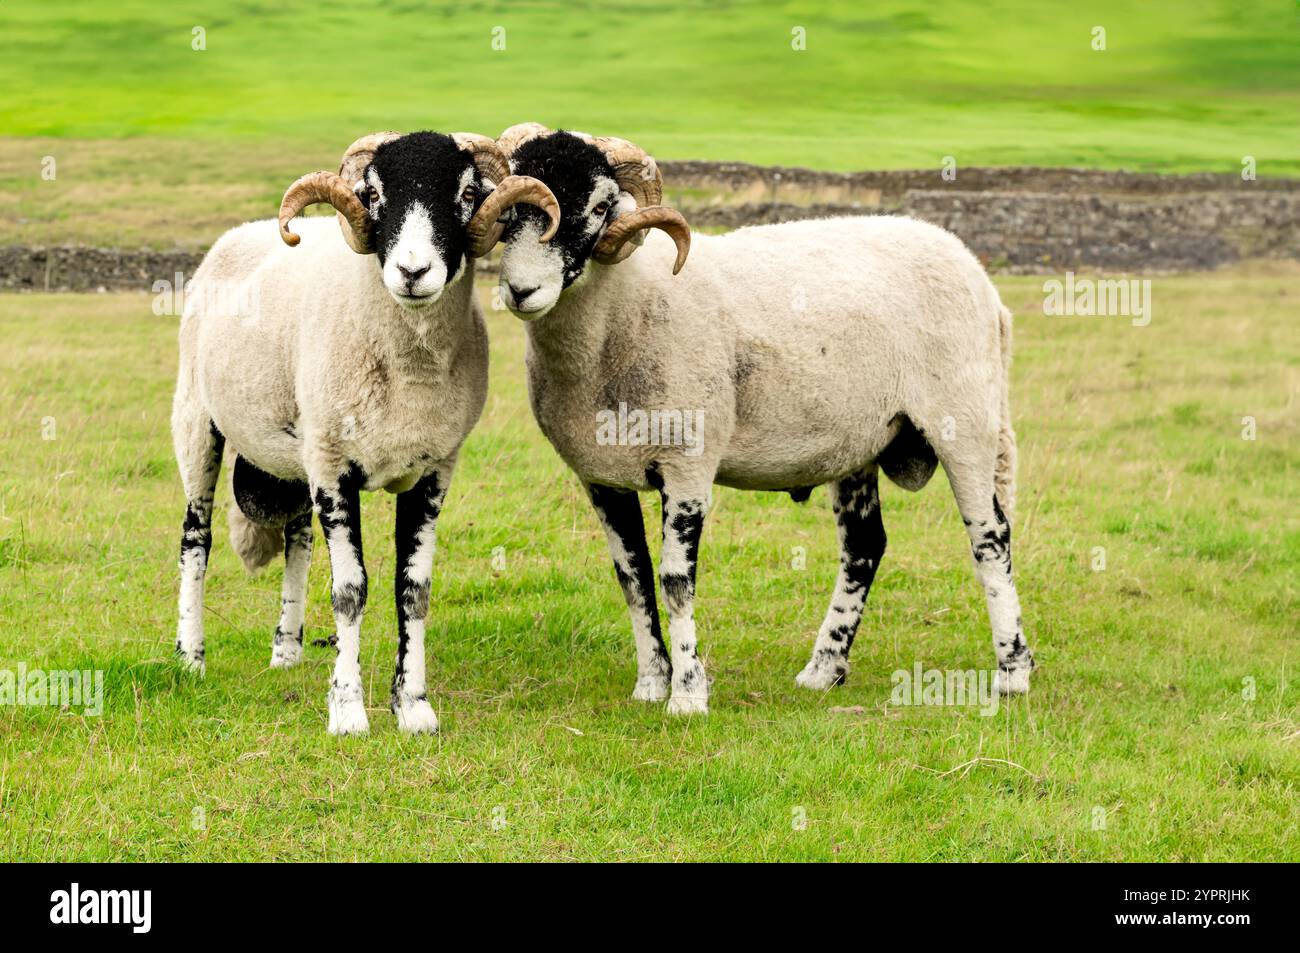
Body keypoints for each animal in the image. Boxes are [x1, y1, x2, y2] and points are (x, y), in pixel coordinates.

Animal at [171, 130, 559, 734]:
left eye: (468, 193)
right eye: (373, 194)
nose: (413, 272)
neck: (407, 370)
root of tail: (242, 231)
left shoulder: (433, 469)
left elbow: (414, 590)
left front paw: (414, 706)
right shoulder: (334, 468)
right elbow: (350, 591)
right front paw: (348, 709)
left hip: (296, 451)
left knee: (298, 540)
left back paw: (287, 650)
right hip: (196, 418)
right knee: (196, 537)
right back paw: (191, 657)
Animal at [492, 124, 1034, 714]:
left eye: (599, 206)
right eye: (508, 208)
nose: (521, 290)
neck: (625, 308)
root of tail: (975, 272)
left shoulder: (689, 465)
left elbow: (675, 581)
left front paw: (688, 694)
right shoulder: (600, 477)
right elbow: (632, 578)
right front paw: (651, 683)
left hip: (965, 420)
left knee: (991, 536)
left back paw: (1013, 672)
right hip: (861, 440)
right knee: (864, 546)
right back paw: (823, 669)